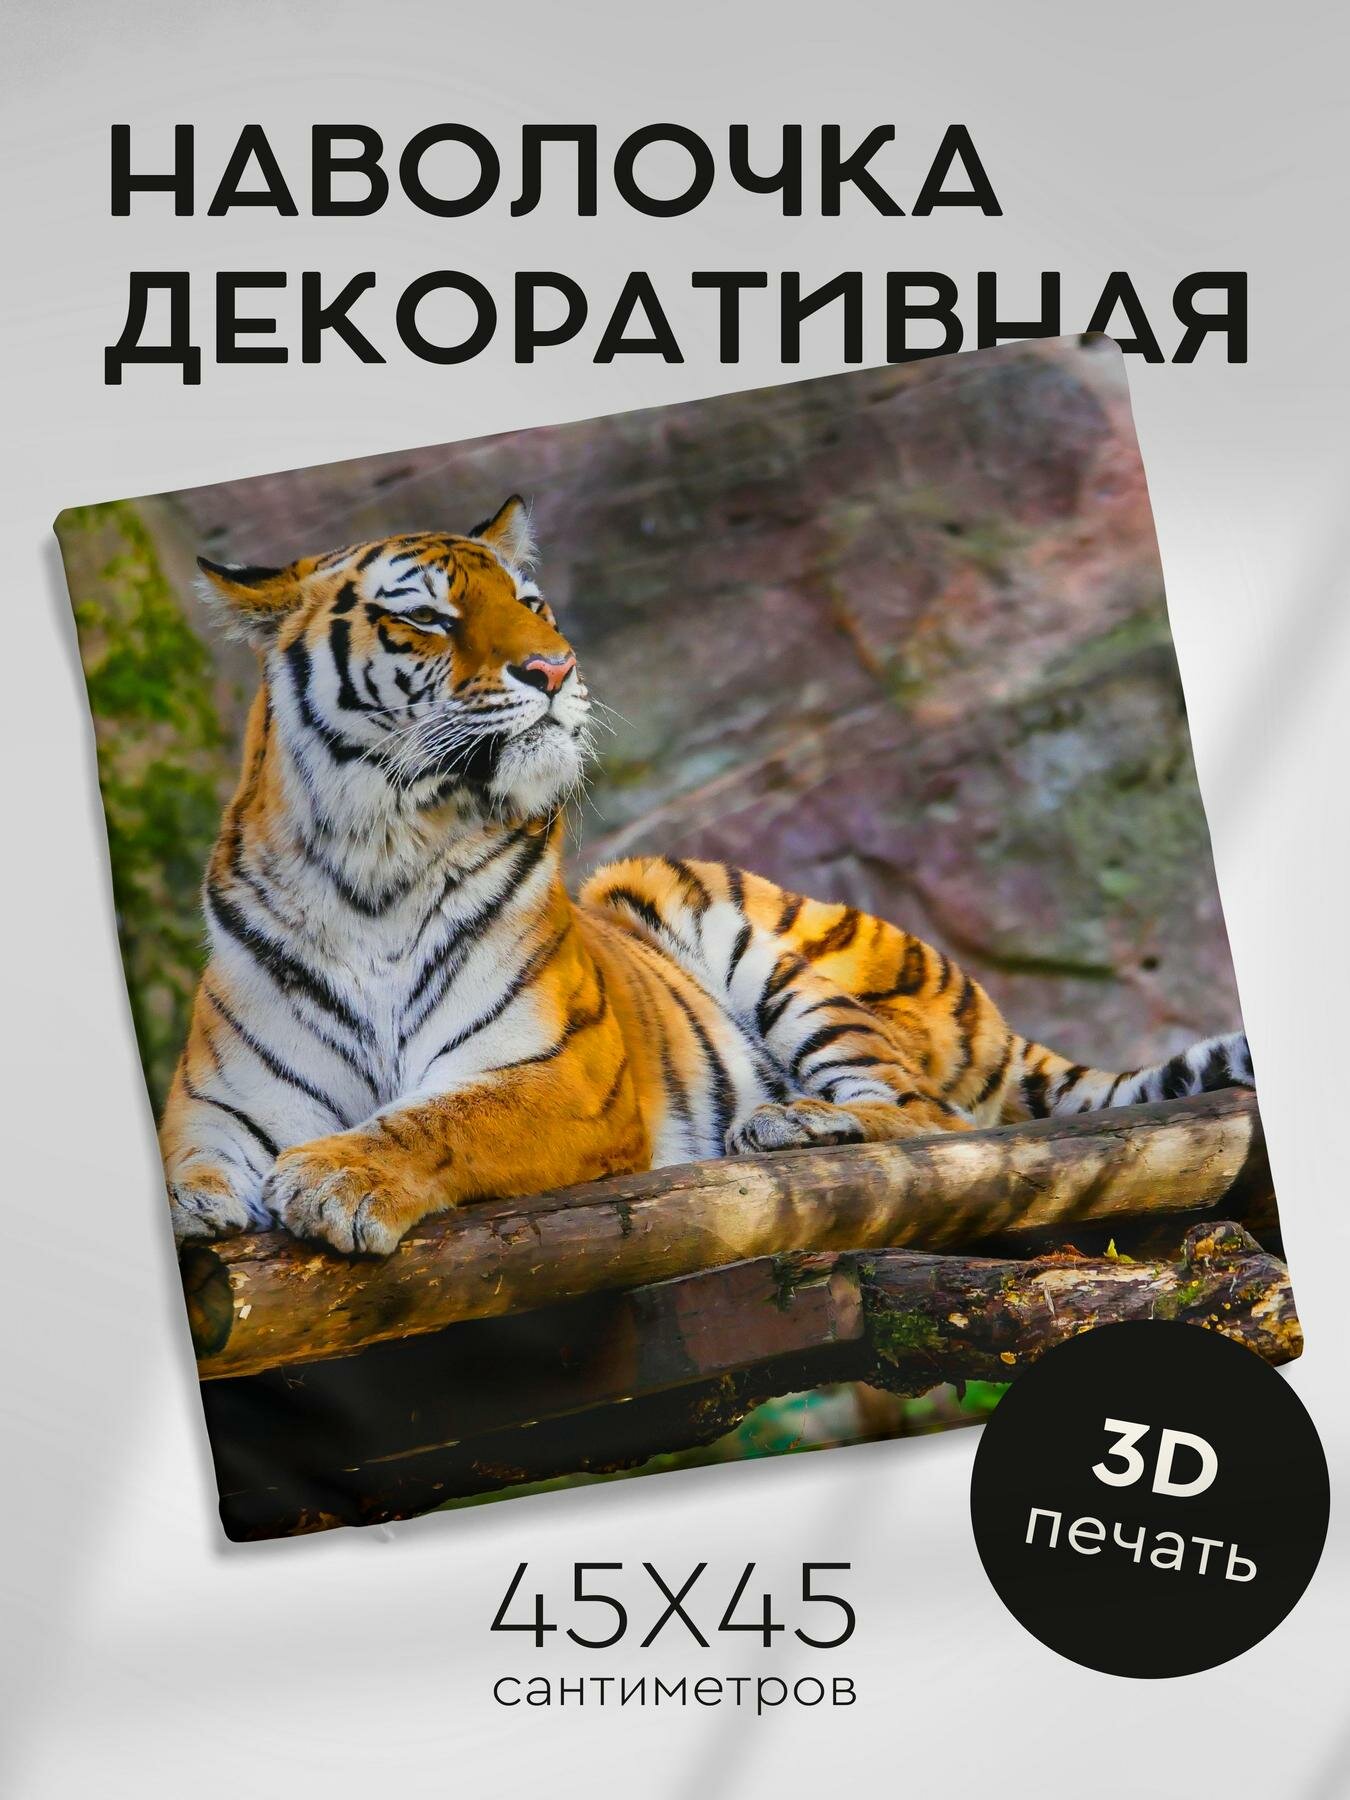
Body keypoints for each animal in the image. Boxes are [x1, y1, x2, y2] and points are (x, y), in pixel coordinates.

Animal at [162, 495, 1254, 1255]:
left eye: (531, 605)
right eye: (428, 619)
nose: (555, 671)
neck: (375, 861)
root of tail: (990, 1010)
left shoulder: (557, 1074)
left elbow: (442, 1118)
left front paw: (337, 1177)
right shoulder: (220, 1099)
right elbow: (187, 1154)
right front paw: (192, 1204)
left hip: (729, 922)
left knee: (932, 1117)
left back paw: (796, 1124)